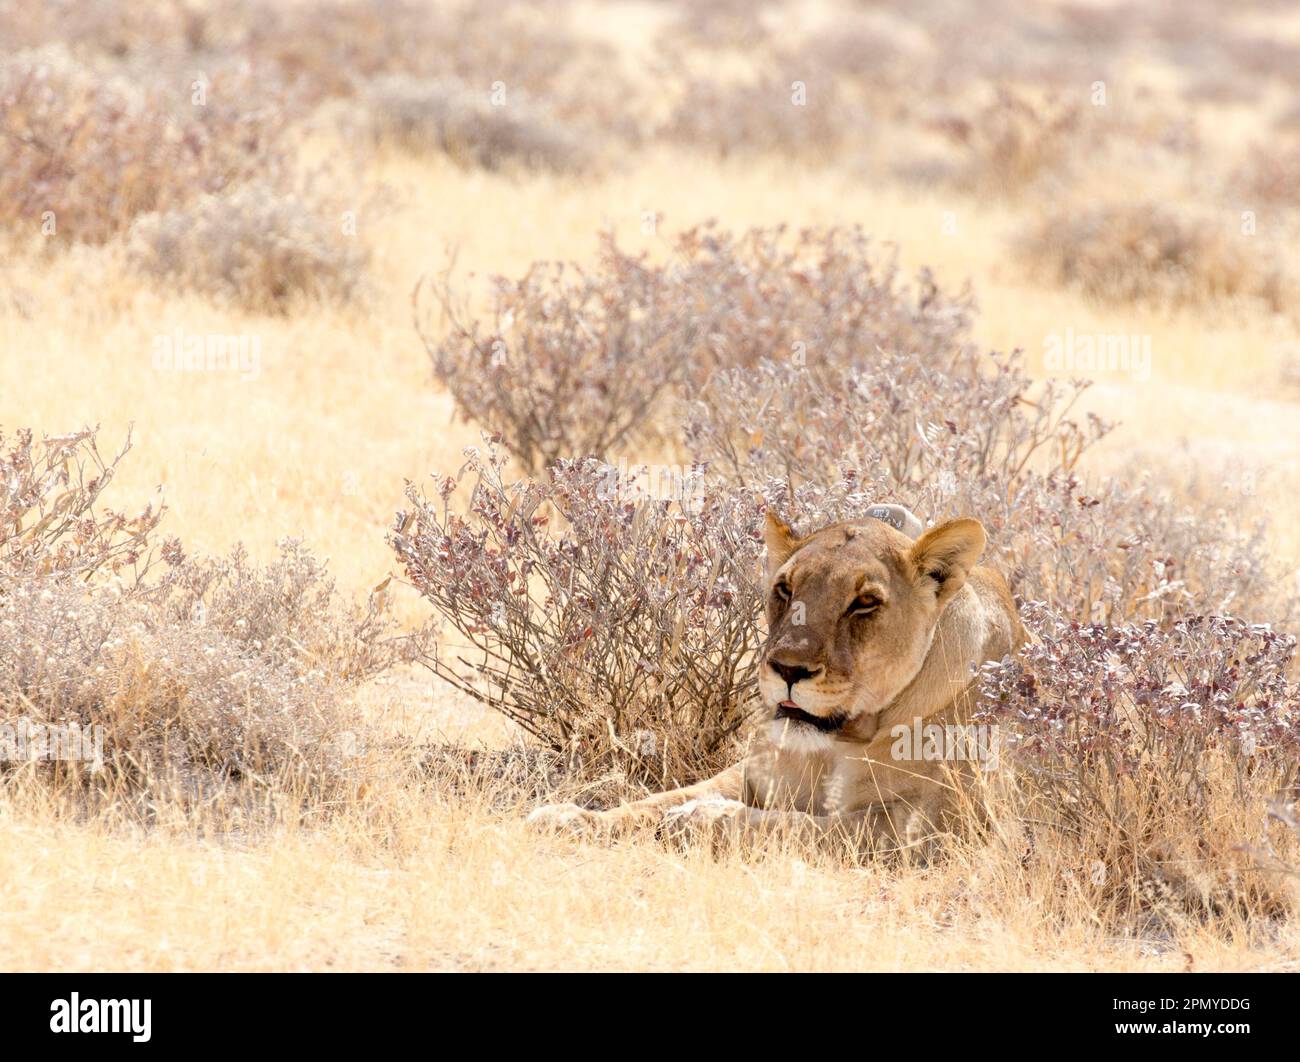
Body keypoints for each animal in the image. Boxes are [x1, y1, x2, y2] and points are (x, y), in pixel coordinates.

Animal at [527, 506, 1024, 850]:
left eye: (864, 602)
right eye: (785, 589)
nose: (787, 669)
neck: (836, 745)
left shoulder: (929, 831)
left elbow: (797, 827)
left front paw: (699, 819)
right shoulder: (751, 772)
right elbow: (660, 799)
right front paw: (569, 818)